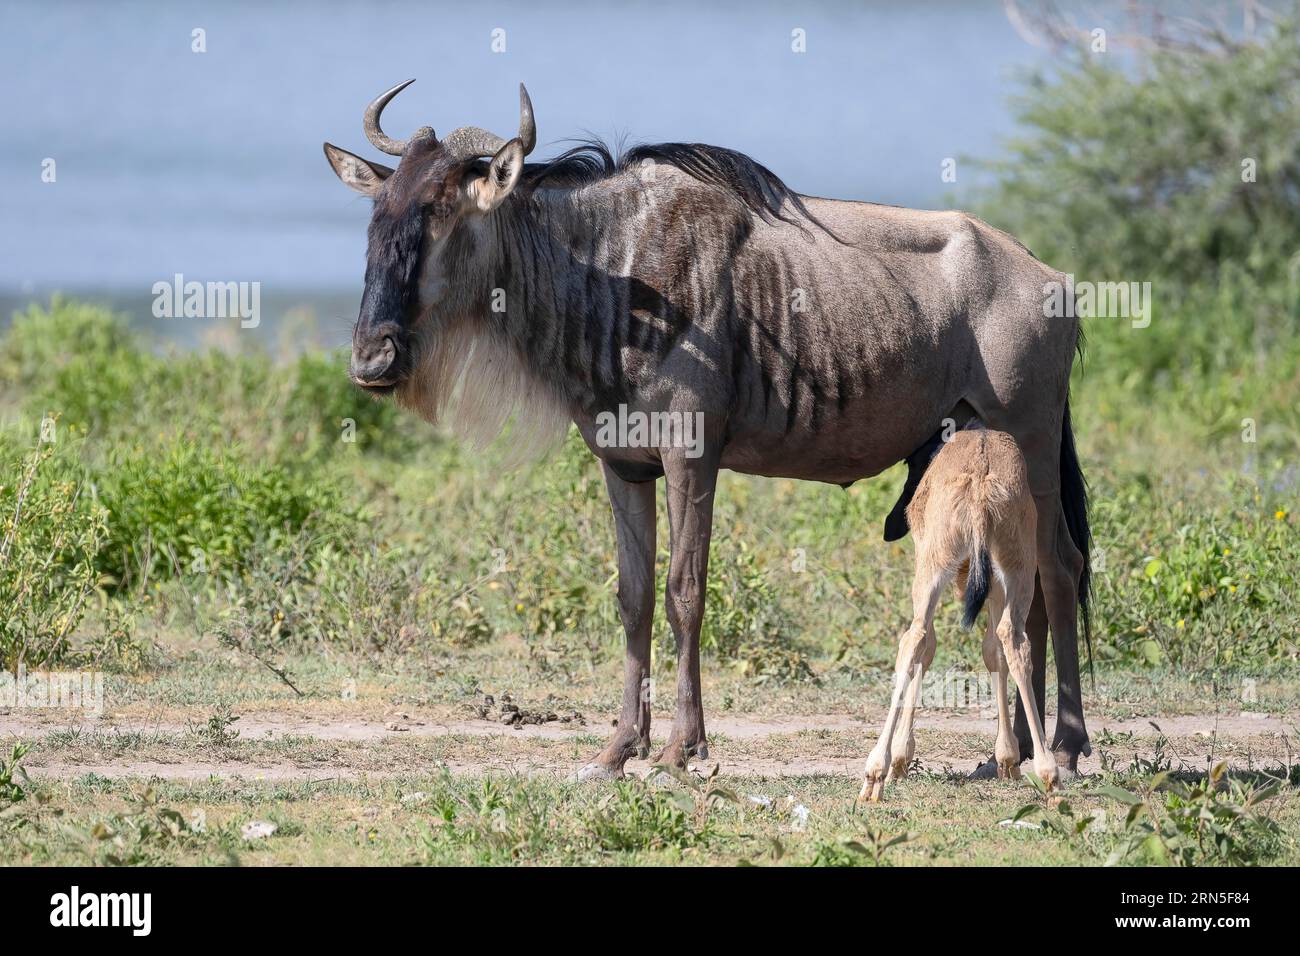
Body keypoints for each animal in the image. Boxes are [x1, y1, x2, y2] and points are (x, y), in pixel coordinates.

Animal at [859, 426, 1059, 801]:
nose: (894, 524)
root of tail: (980, 485)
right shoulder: (995, 585)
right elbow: (993, 651)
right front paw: (1008, 760)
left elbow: (927, 648)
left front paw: (901, 760)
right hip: (1019, 567)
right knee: (1013, 639)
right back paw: (1048, 774)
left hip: (933, 564)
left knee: (915, 637)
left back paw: (875, 774)